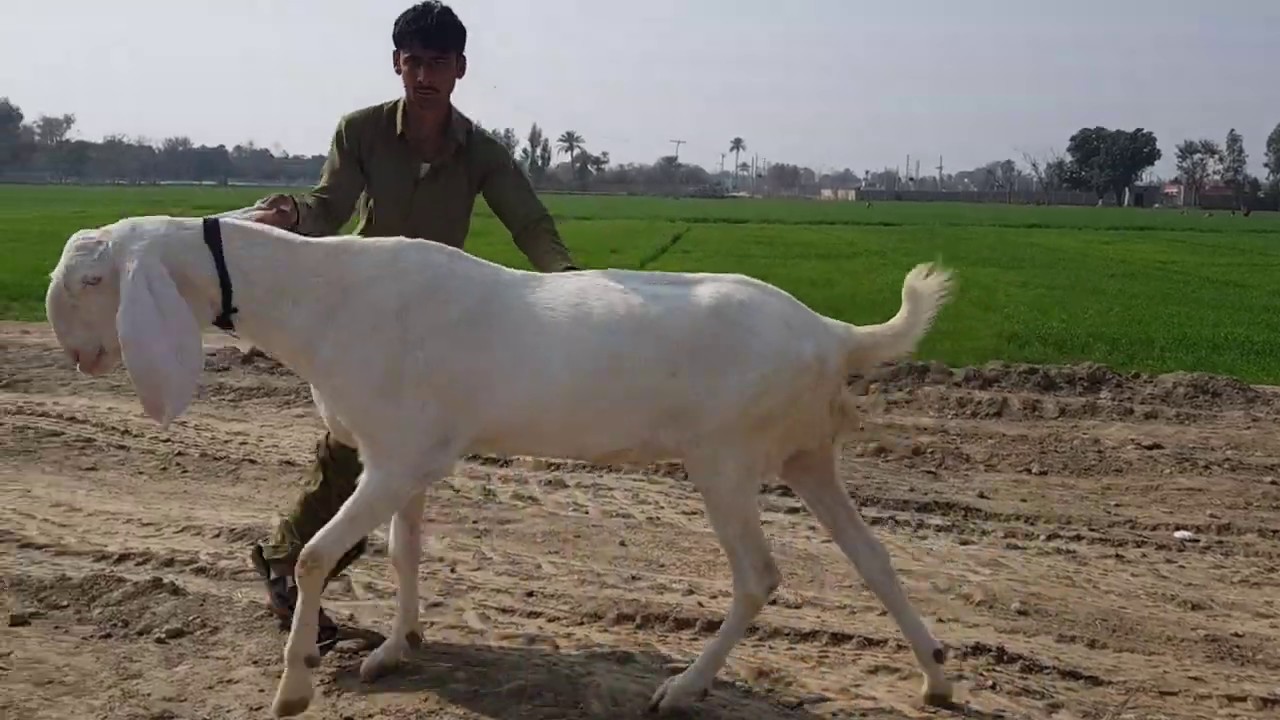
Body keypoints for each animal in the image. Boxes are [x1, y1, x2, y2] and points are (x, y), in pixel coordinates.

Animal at [45, 214, 957, 717]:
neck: (326, 301)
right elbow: (404, 551)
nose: (78, 353)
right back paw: (936, 678)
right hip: (808, 452)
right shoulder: (408, 457)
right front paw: (396, 649)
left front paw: (295, 685)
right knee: (873, 558)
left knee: (760, 576)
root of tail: (834, 334)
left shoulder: (393, 459)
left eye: (93, 279)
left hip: (726, 458)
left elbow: (315, 556)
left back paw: (684, 688)